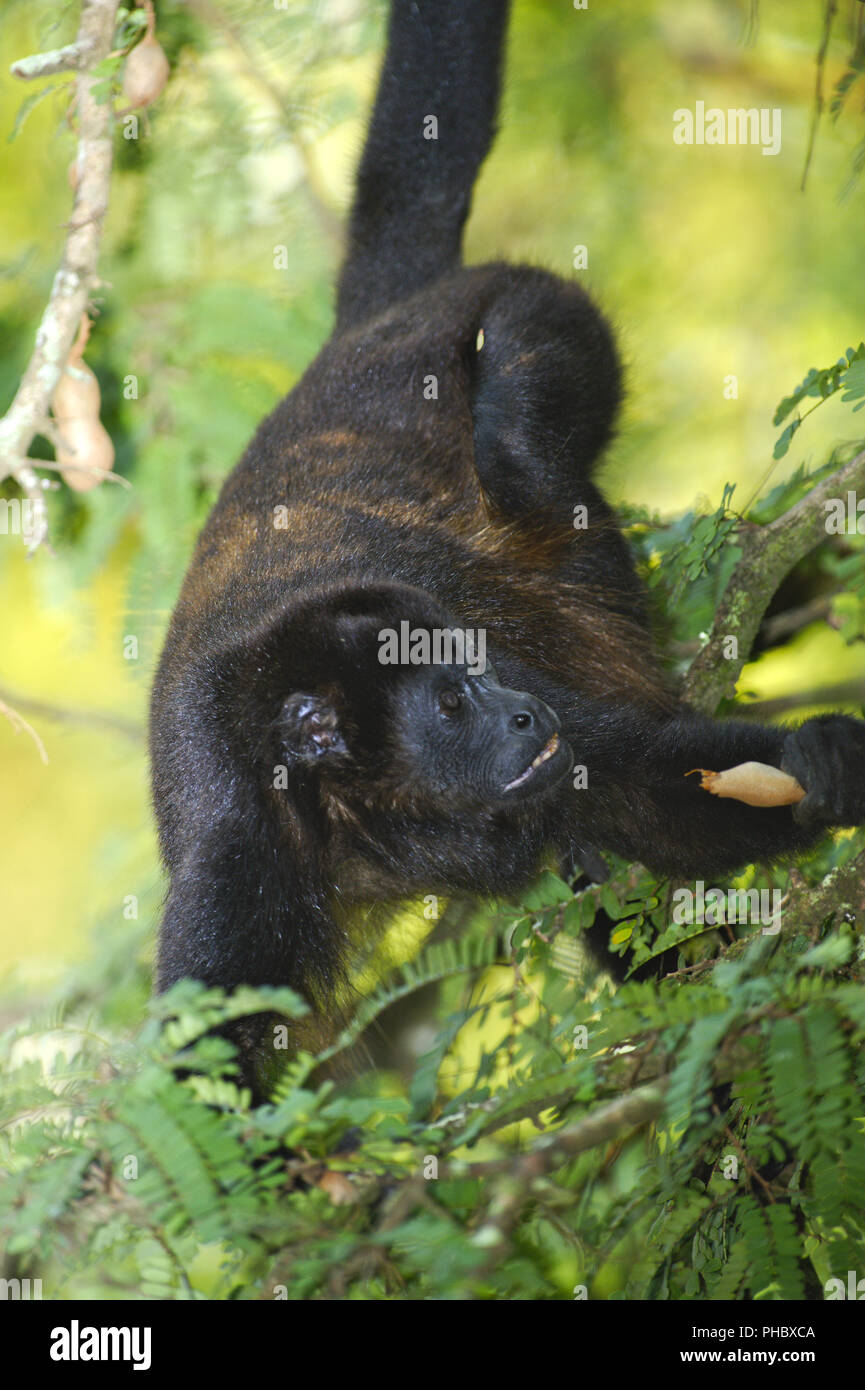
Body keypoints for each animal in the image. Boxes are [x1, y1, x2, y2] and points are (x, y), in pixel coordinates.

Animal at [150, 0, 865, 1087]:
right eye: (450, 700)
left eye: (479, 667)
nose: (527, 713)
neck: (354, 807)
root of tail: (360, 335)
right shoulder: (233, 850)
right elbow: (203, 1073)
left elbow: (645, 782)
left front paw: (818, 754)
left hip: (530, 298)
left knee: (519, 454)